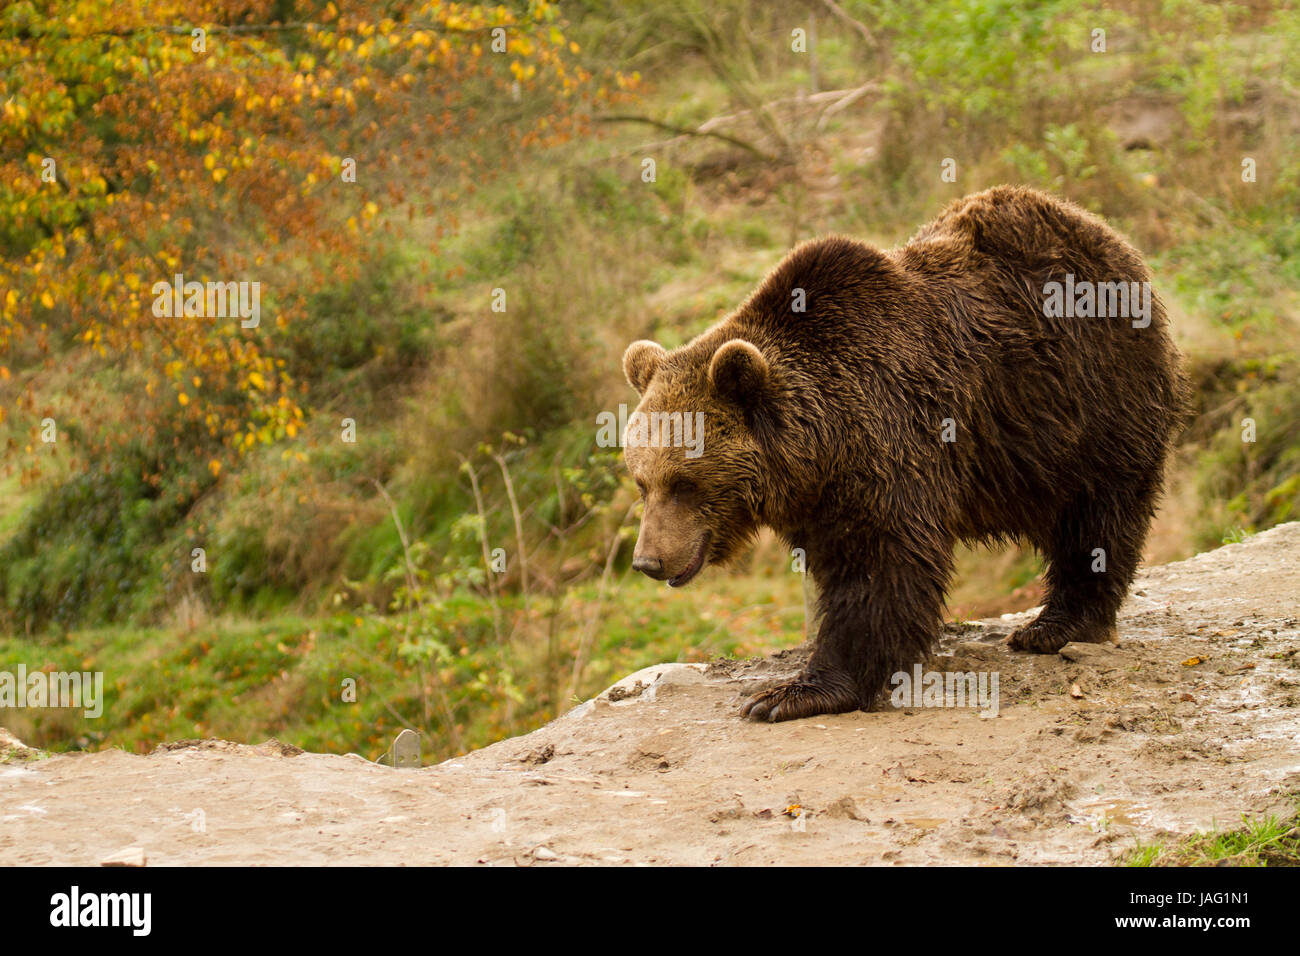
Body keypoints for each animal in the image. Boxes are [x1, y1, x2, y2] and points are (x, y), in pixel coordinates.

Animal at [620, 185, 1191, 722]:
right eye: (643, 482)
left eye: (685, 483)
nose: (648, 560)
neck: (819, 446)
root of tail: (1104, 234)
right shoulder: (820, 495)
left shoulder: (891, 438)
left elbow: (881, 565)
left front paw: (792, 693)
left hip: (1090, 398)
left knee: (1096, 516)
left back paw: (1055, 626)